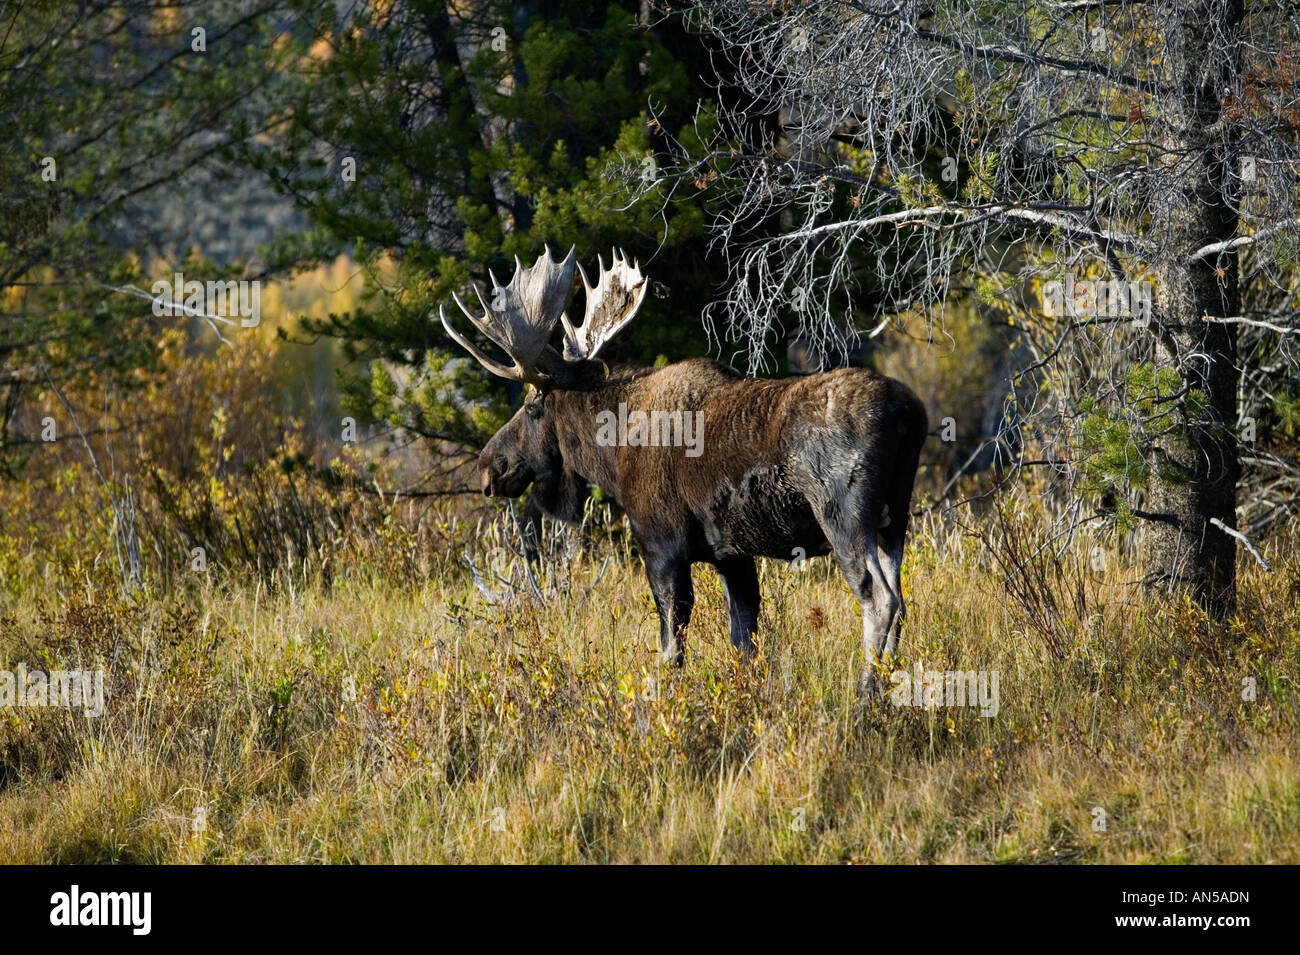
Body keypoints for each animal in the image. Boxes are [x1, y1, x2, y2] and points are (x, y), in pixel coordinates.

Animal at [441, 247, 928, 694]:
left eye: (532, 407)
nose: (489, 468)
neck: (612, 455)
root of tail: (909, 412)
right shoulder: (732, 555)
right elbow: (744, 640)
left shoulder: (661, 544)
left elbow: (672, 644)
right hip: (894, 518)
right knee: (901, 596)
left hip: (843, 514)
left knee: (879, 598)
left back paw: (865, 692)